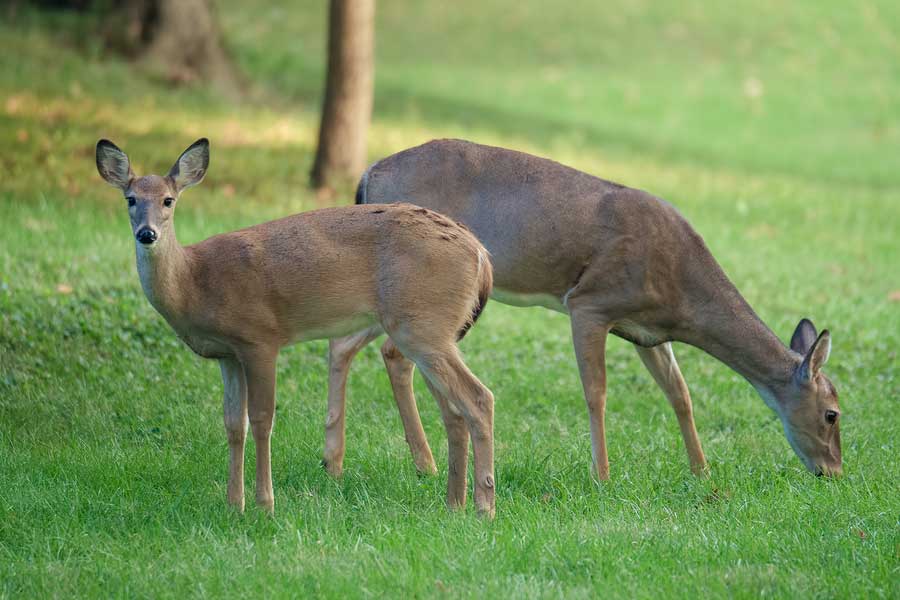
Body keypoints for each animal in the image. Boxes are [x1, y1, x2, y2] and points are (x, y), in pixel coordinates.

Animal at [98, 139, 500, 516]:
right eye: (131, 199)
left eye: (168, 200)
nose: (147, 234)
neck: (196, 282)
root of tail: (481, 254)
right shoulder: (228, 354)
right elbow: (233, 425)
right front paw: (233, 504)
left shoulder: (259, 338)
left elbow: (262, 420)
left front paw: (264, 504)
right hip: (428, 329)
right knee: (454, 411)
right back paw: (454, 503)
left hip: (423, 324)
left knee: (479, 398)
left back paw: (484, 507)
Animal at [328, 138, 836, 480]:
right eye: (833, 413)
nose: (833, 472)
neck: (682, 290)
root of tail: (370, 174)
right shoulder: (592, 302)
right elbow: (597, 392)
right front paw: (603, 475)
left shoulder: (648, 331)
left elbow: (680, 393)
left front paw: (701, 470)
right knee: (393, 355)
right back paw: (424, 463)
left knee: (348, 345)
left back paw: (343, 461)